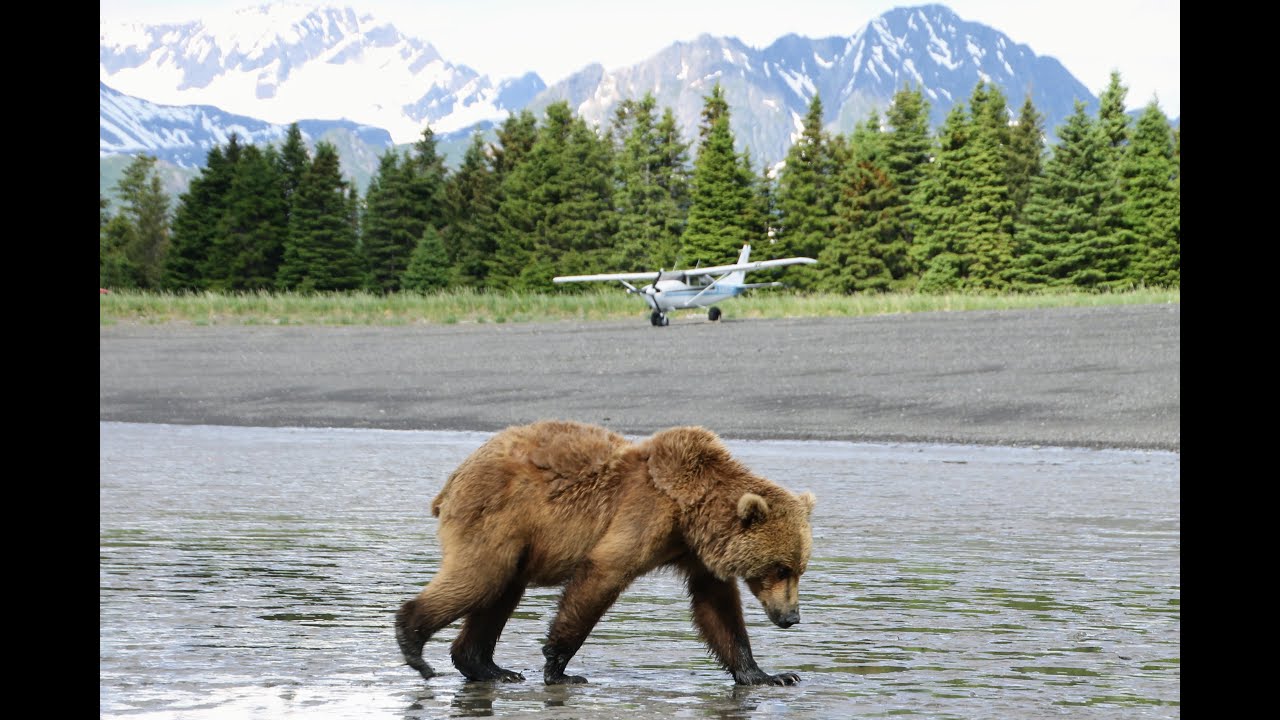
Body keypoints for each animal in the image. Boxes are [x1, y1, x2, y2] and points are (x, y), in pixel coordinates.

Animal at [395, 419, 817, 686]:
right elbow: (602, 573)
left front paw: (771, 675)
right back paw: (414, 645)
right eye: (780, 568)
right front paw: (560, 668)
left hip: (513, 540)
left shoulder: (696, 554)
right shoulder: (642, 515)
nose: (791, 617)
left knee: (499, 593)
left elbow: (718, 609)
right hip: (496, 516)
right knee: (480, 579)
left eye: (799, 569)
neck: (691, 512)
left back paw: (490, 668)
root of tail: (456, 475)